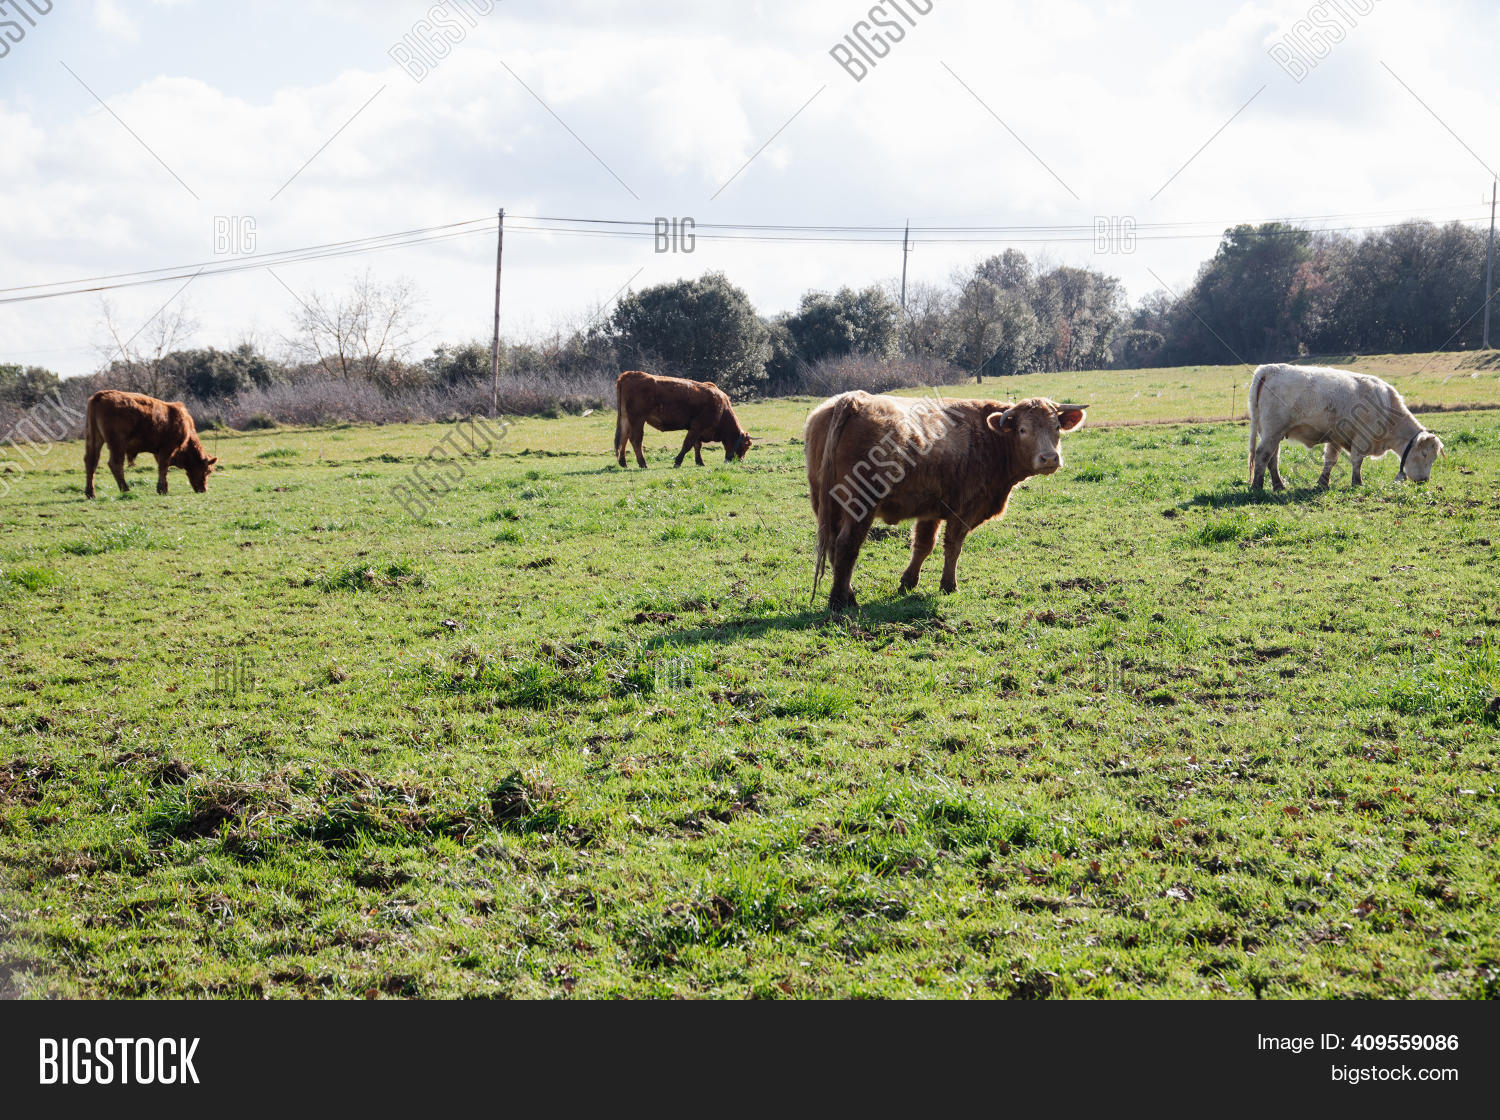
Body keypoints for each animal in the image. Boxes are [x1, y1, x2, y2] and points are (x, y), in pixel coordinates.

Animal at [83, 390, 219, 499]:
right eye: (208, 471)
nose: (203, 489)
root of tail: (101, 394)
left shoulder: (158, 452)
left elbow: (162, 468)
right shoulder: (167, 449)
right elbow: (163, 468)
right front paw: (163, 490)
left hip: (94, 440)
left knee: (91, 462)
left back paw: (91, 493)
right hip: (117, 443)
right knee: (115, 464)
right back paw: (126, 489)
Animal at [614, 370, 753, 469]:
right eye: (745, 446)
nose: (740, 461)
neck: (722, 409)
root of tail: (629, 374)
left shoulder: (697, 430)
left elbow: (697, 445)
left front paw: (699, 462)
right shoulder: (697, 427)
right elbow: (687, 444)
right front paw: (678, 461)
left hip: (626, 419)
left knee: (623, 438)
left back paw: (623, 463)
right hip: (637, 419)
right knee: (635, 440)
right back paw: (643, 463)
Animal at [805, 391, 1086, 611]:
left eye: (1056, 427)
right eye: (1023, 429)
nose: (1049, 458)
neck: (990, 438)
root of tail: (853, 400)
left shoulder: (930, 511)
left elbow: (923, 545)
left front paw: (908, 582)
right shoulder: (965, 509)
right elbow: (953, 546)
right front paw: (949, 585)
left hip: (825, 504)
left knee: (832, 546)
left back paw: (848, 593)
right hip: (860, 505)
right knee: (846, 546)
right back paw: (840, 601)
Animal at [1247, 363, 1443, 491]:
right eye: (1425, 454)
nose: (1424, 480)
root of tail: (1270, 368)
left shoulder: (1335, 438)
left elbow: (1330, 461)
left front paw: (1322, 483)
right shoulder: (1362, 437)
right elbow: (1357, 460)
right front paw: (1357, 483)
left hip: (1272, 433)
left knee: (1273, 458)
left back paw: (1279, 485)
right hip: (1272, 431)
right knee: (1262, 455)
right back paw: (1257, 486)